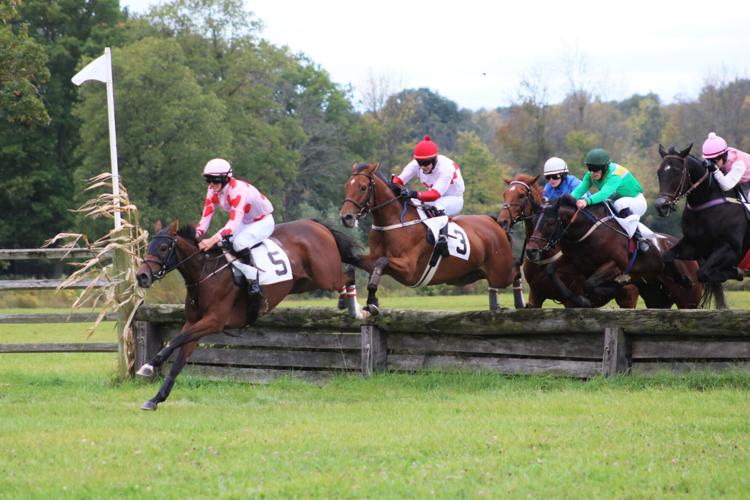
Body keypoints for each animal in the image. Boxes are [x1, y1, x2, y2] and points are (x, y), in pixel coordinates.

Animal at [134, 219, 361, 410]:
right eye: (148, 246)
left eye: (163, 248)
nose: (141, 276)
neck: (204, 273)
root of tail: (316, 224)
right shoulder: (193, 322)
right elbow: (179, 360)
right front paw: (156, 399)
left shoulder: (213, 321)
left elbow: (175, 340)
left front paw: (149, 365)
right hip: (305, 282)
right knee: (345, 274)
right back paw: (346, 303)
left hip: (325, 276)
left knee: (349, 273)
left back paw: (355, 308)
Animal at [339, 162, 521, 313]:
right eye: (347, 186)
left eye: (363, 187)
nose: (346, 217)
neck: (393, 222)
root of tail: (495, 223)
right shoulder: (372, 258)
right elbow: (353, 262)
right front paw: (349, 299)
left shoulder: (408, 269)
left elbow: (381, 262)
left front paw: (371, 300)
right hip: (470, 275)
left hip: (500, 272)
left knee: (515, 270)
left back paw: (520, 302)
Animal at [498, 173, 640, 308]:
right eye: (504, 194)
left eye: (521, 195)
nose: (502, 221)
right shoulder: (535, 295)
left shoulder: (571, 299)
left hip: (628, 297)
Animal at [525, 194, 703, 309]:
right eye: (533, 221)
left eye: (550, 223)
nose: (531, 250)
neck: (587, 232)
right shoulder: (570, 261)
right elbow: (551, 271)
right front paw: (582, 300)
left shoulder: (616, 265)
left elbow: (590, 284)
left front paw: (592, 297)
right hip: (656, 296)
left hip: (687, 300)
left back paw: (685, 280)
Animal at [654, 144, 750, 308]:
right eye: (659, 172)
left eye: (677, 171)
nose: (661, 206)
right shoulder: (694, 245)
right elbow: (667, 256)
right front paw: (684, 281)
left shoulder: (730, 248)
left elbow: (703, 273)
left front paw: (736, 272)